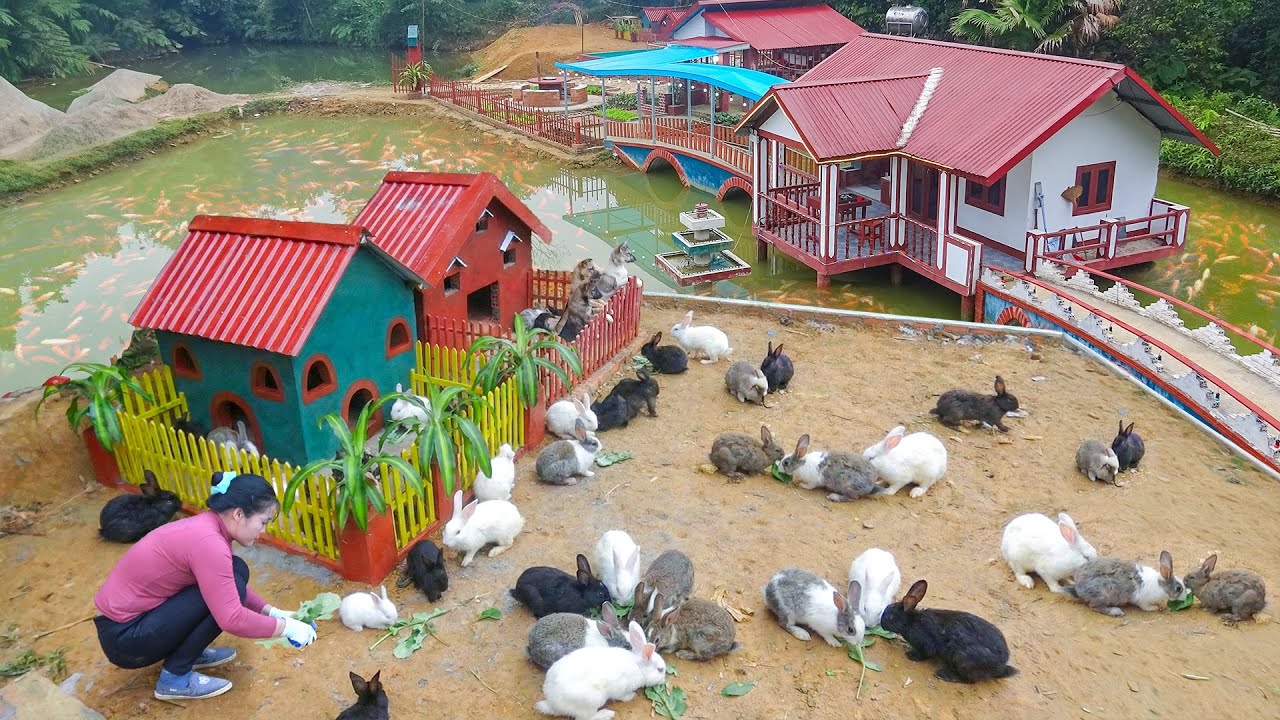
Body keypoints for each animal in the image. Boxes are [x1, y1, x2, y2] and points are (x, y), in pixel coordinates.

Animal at [533, 621, 666, 720]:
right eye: (660, 670)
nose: (664, 681)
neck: (639, 666)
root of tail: (552, 703)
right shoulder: (621, 688)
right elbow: (622, 696)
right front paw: (631, 696)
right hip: (593, 700)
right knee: (584, 717)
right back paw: (606, 714)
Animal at [880, 580, 1018, 683]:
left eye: (890, 617)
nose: (881, 624)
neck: (911, 621)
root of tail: (1000, 667)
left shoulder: (925, 643)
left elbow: (925, 653)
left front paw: (911, 655)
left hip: (963, 659)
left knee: (969, 680)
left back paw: (945, 674)